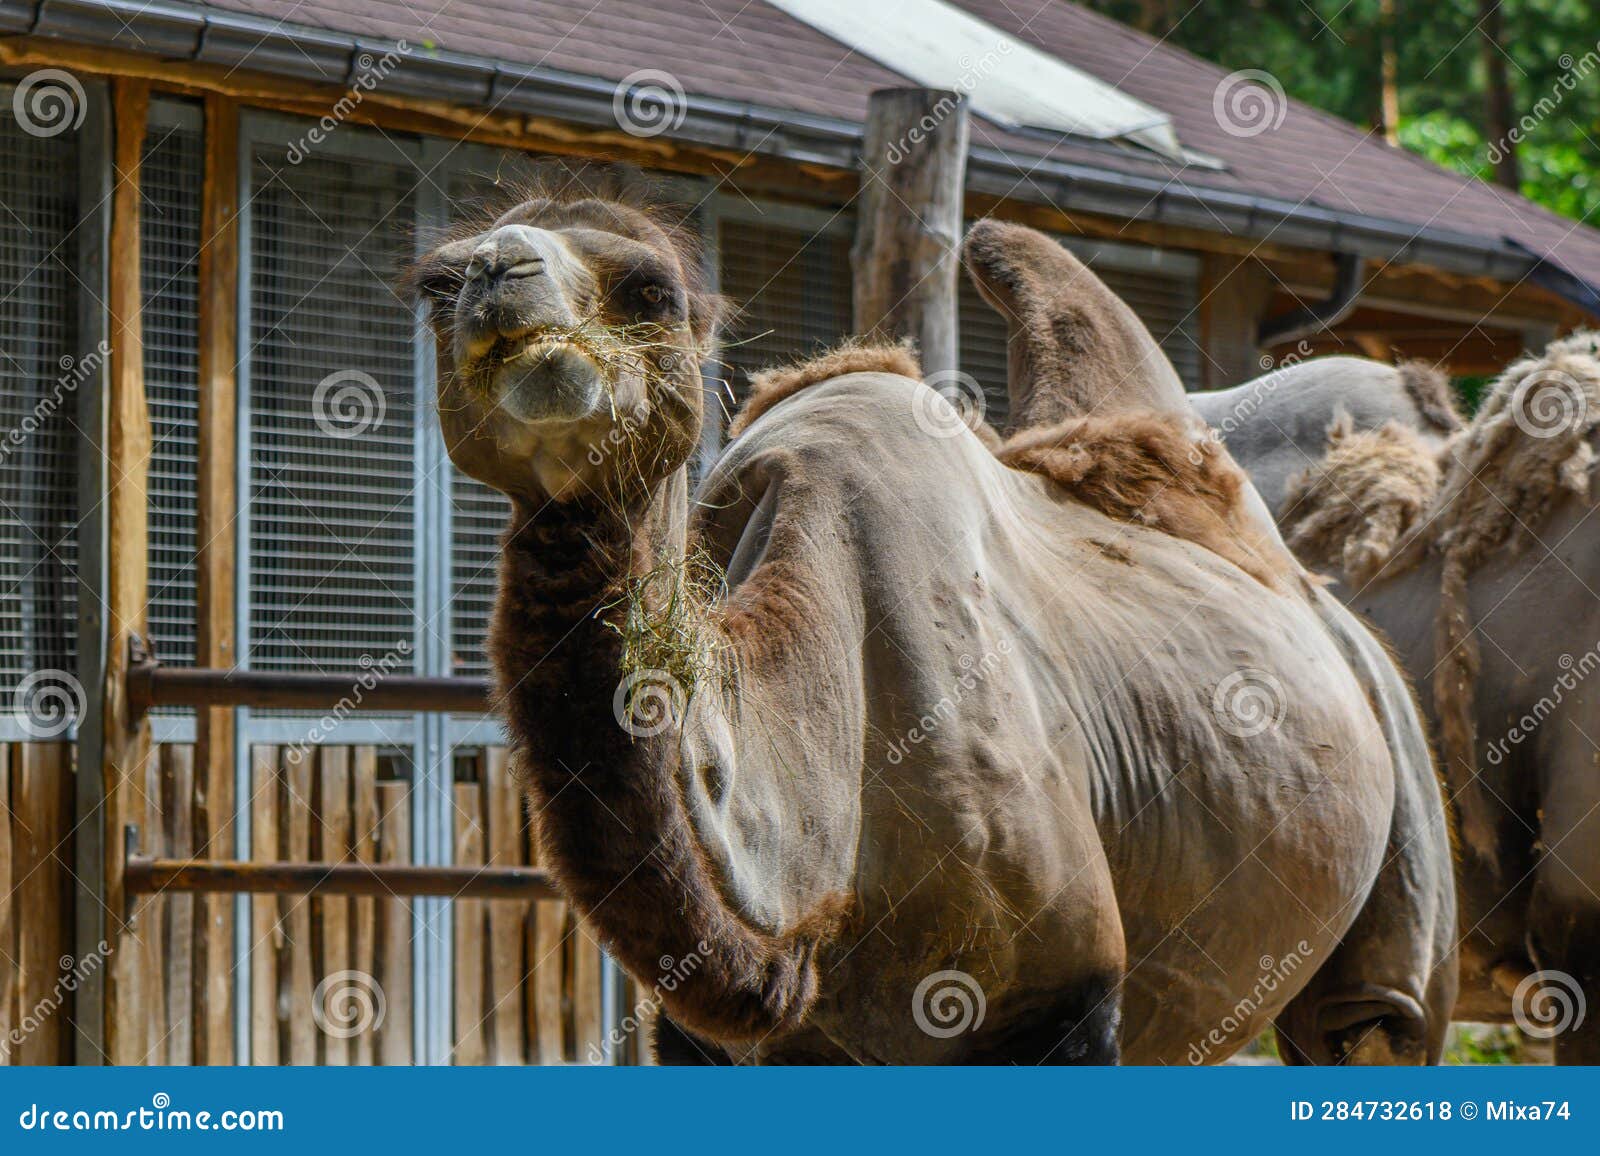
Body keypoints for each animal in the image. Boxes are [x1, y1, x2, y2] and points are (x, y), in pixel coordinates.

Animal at [408, 173, 1455, 1064]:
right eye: (436, 286)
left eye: (651, 289)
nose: (497, 273)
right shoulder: (704, 1042)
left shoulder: (1061, 997)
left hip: (1400, 887)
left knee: (1376, 1014)